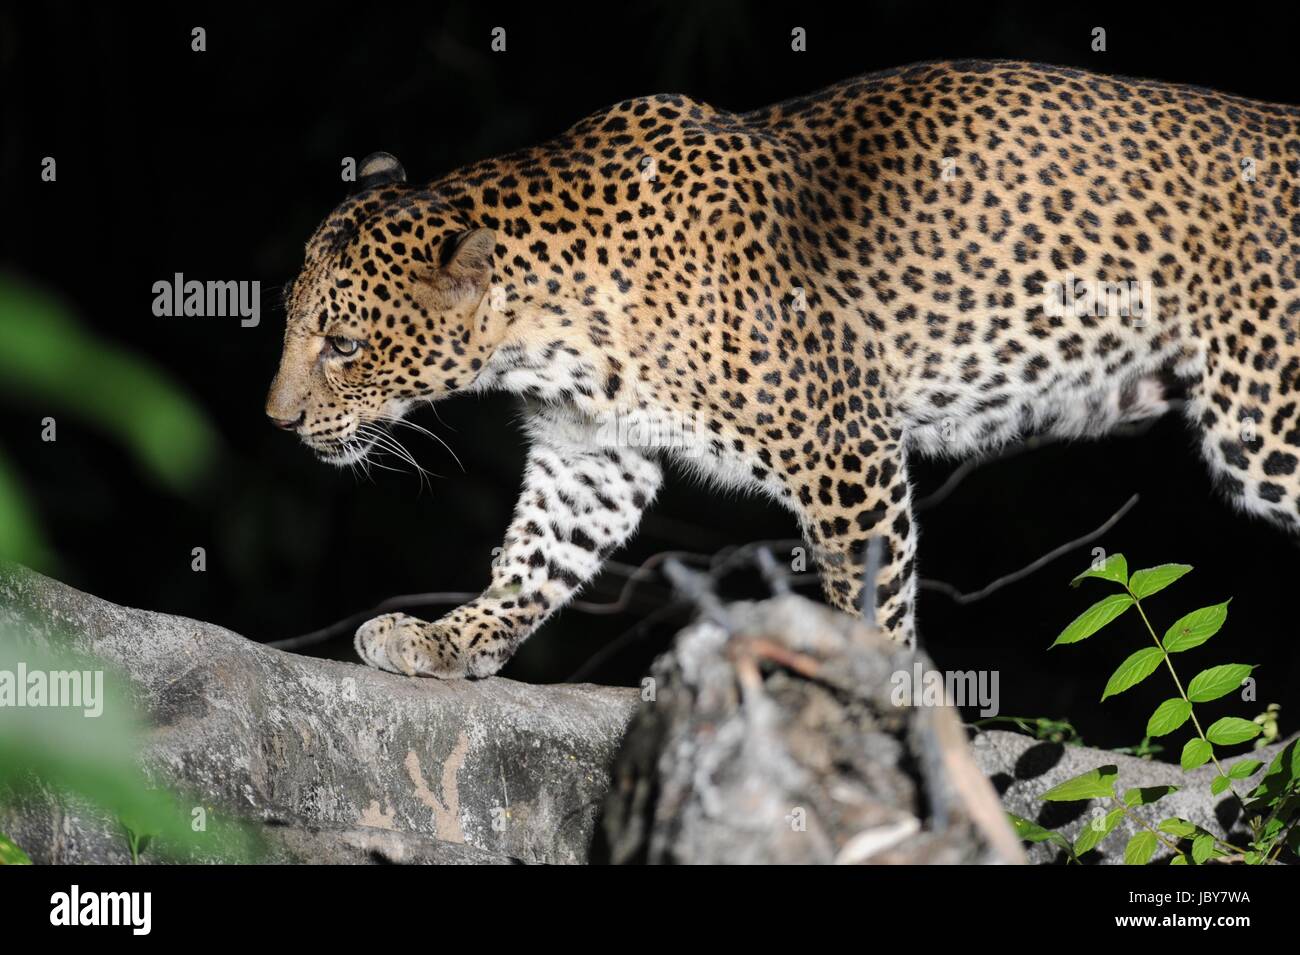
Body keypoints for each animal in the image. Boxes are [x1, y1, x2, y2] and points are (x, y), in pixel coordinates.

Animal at [266, 59, 1300, 679]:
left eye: (343, 345)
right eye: (287, 323)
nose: (277, 422)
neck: (545, 331)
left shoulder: (847, 451)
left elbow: (870, 602)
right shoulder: (590, 451)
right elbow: (533, 559)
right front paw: (447, 641)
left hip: (1263, 418)